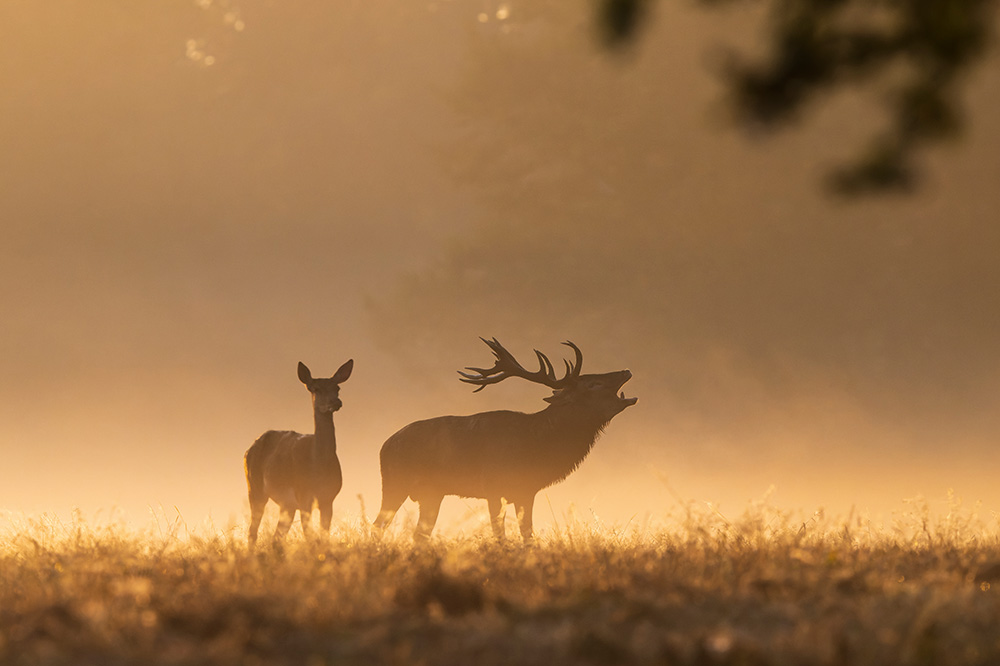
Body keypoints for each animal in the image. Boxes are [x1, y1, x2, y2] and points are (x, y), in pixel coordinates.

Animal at [244, 359, 353, 548]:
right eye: (315, 388)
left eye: (337, 387)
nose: (336, 402)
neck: (318, 465)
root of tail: (249, 450)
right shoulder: (304, 496)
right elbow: (310, 537)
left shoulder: (328, 499)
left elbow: (324, 537)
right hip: (255, 488)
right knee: (253, 532)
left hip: (287, 505)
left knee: (277, 536)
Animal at [373, 338, 636, 542]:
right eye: (593, 384)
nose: (626, 371)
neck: (539, 444)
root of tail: (385, 446)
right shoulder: (493, 488)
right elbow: (500, 536)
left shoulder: (526, 491)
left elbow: (528, 536)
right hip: (395, 483)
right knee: (378, 526)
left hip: (431, 494)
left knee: (419, 535)